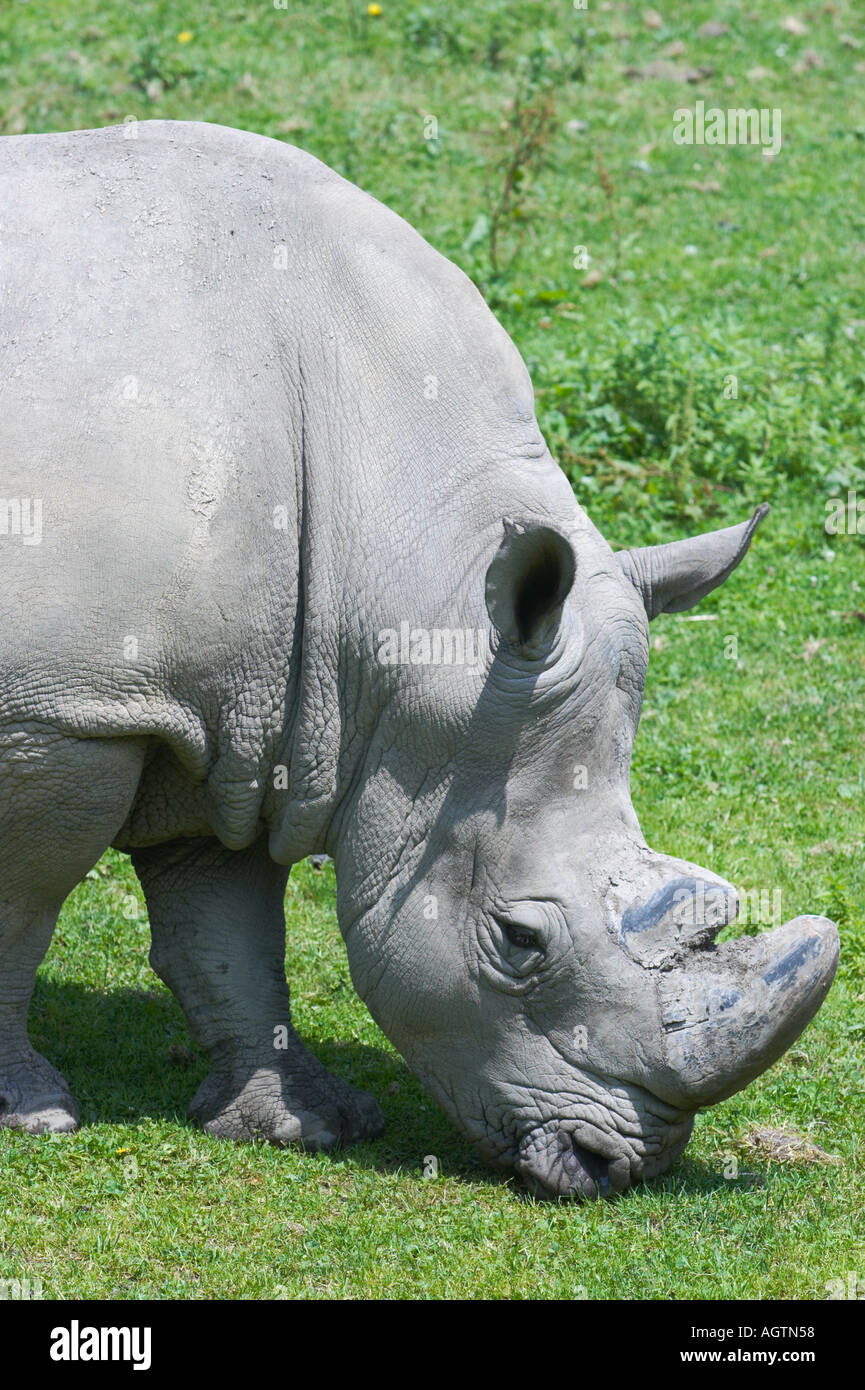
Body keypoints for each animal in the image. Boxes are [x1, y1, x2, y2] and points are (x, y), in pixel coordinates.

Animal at [0, 121, 838, 1199]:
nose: (615, 1165)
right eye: (518, 942)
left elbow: (227, 930)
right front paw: (32, 1115)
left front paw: (300, 1125)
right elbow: (22, 909)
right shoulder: (66, 710)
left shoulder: (246, 710)